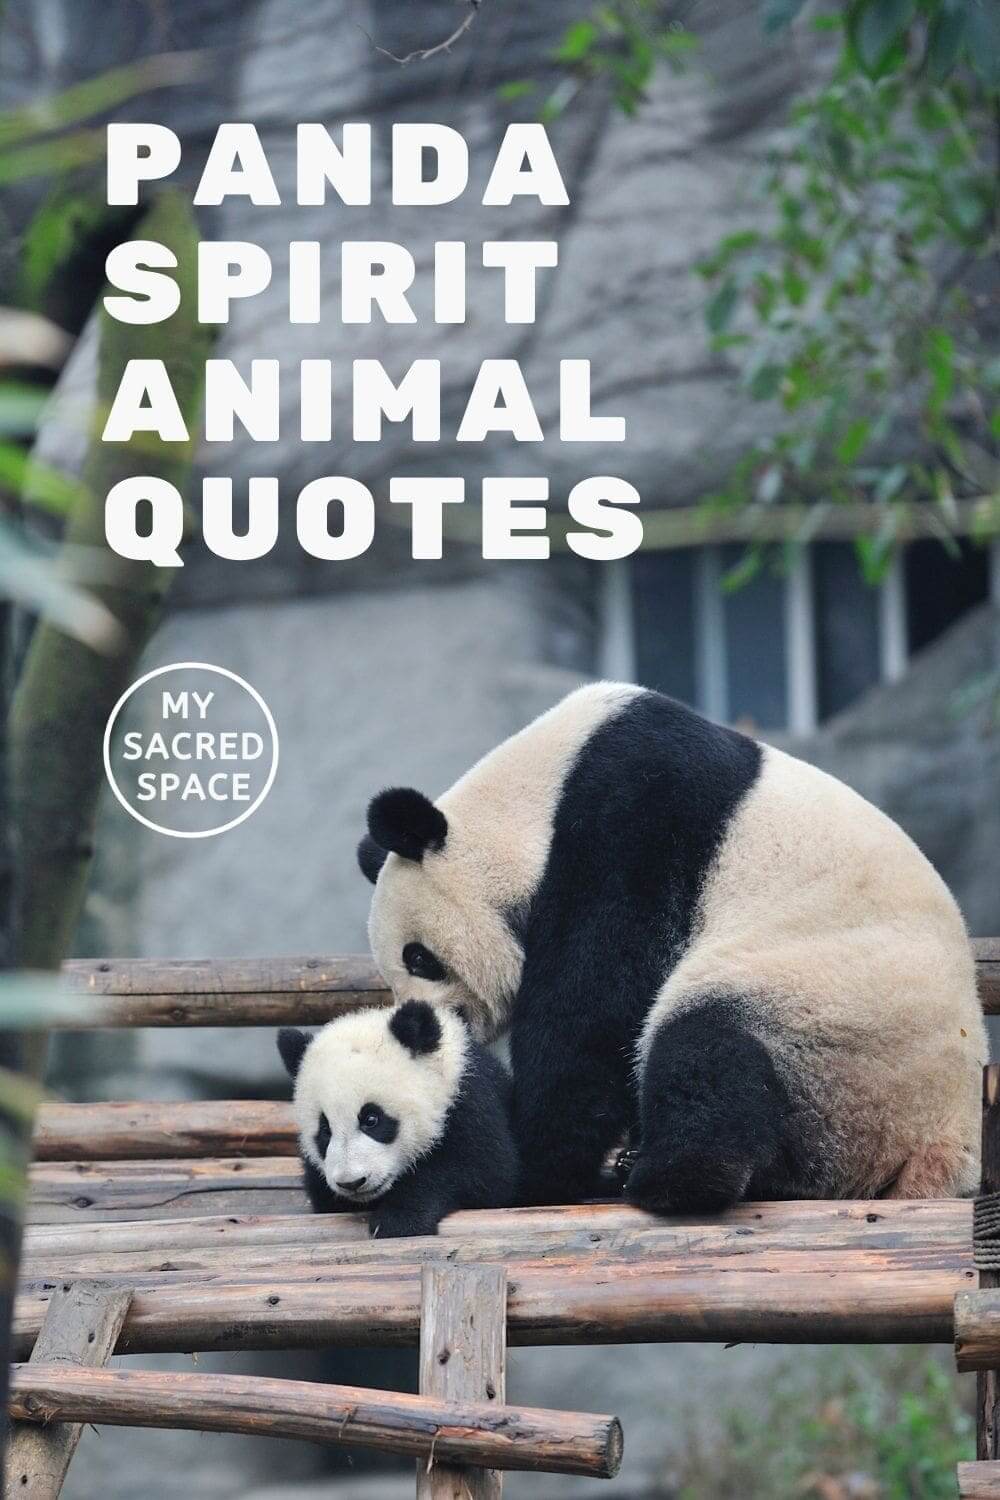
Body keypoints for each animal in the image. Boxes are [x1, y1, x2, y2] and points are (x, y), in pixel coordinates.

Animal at [277, 997, 520, 1237]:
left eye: (371, 1119)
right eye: (325, 1130)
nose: (352, 1183)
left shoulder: (470, 1105)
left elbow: (484, 1172)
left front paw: (398, 1220)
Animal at [357, 682, 986, 1212]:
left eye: (420, 957)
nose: (430, 1023)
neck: (538, 795)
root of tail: (942, 1141)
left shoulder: (635, 820)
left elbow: (594, 1006)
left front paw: (539, 1166)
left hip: (842, 1022)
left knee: (706, 1045)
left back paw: (666, 1178)